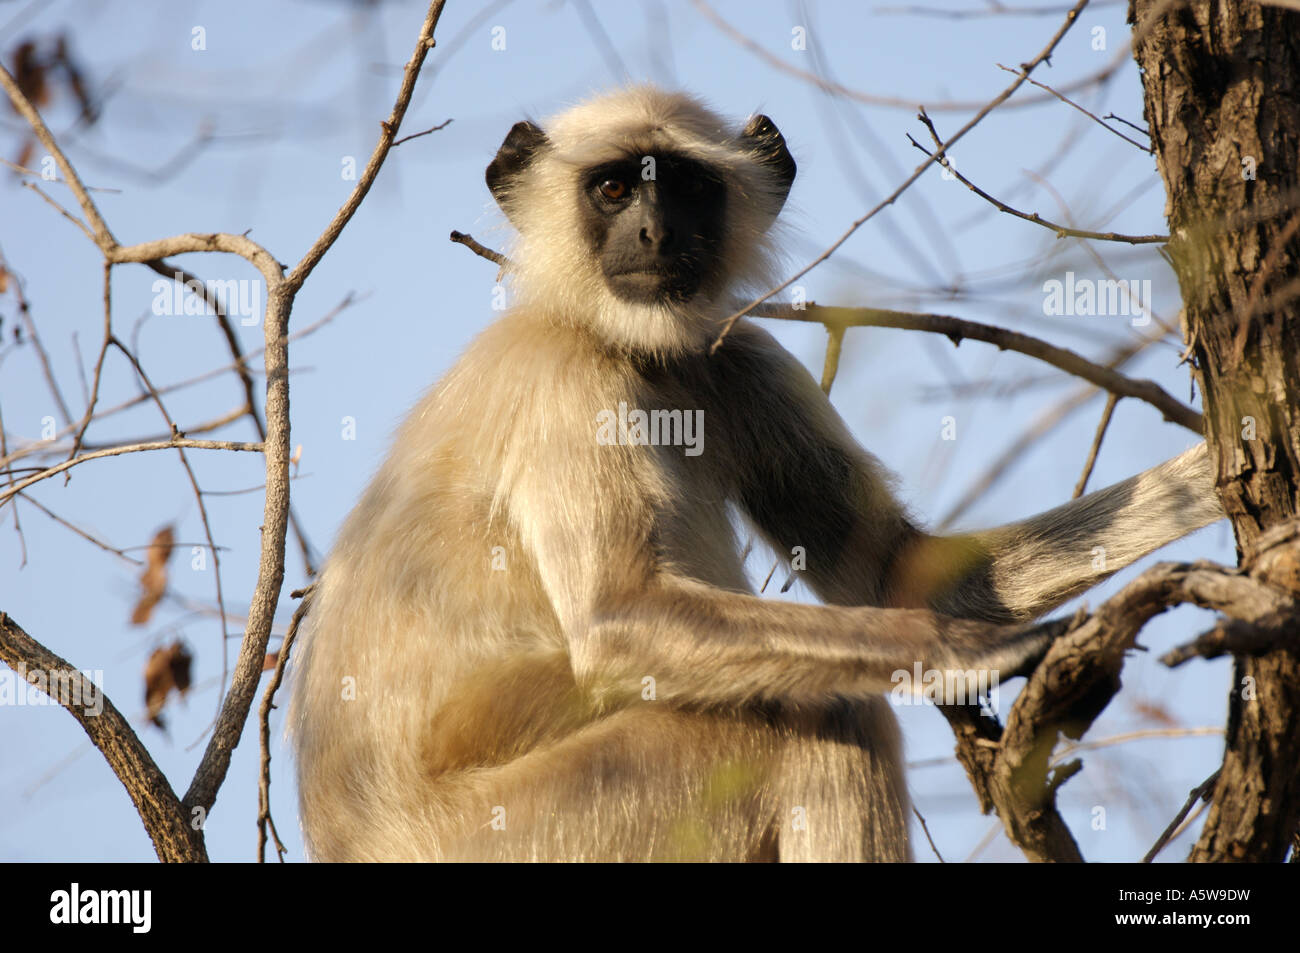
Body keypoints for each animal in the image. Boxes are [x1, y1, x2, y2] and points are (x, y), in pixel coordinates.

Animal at [288, 86, 1224, 862]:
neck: (619, 341)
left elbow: (899, 573)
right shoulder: (563, 379)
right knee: (815, 712)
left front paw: (1212, 470)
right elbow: (621, 616)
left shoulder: (738, 356)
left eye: (687, 188)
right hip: (537, 831)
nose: (655, 233)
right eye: (615, 190)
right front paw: (968, 651)